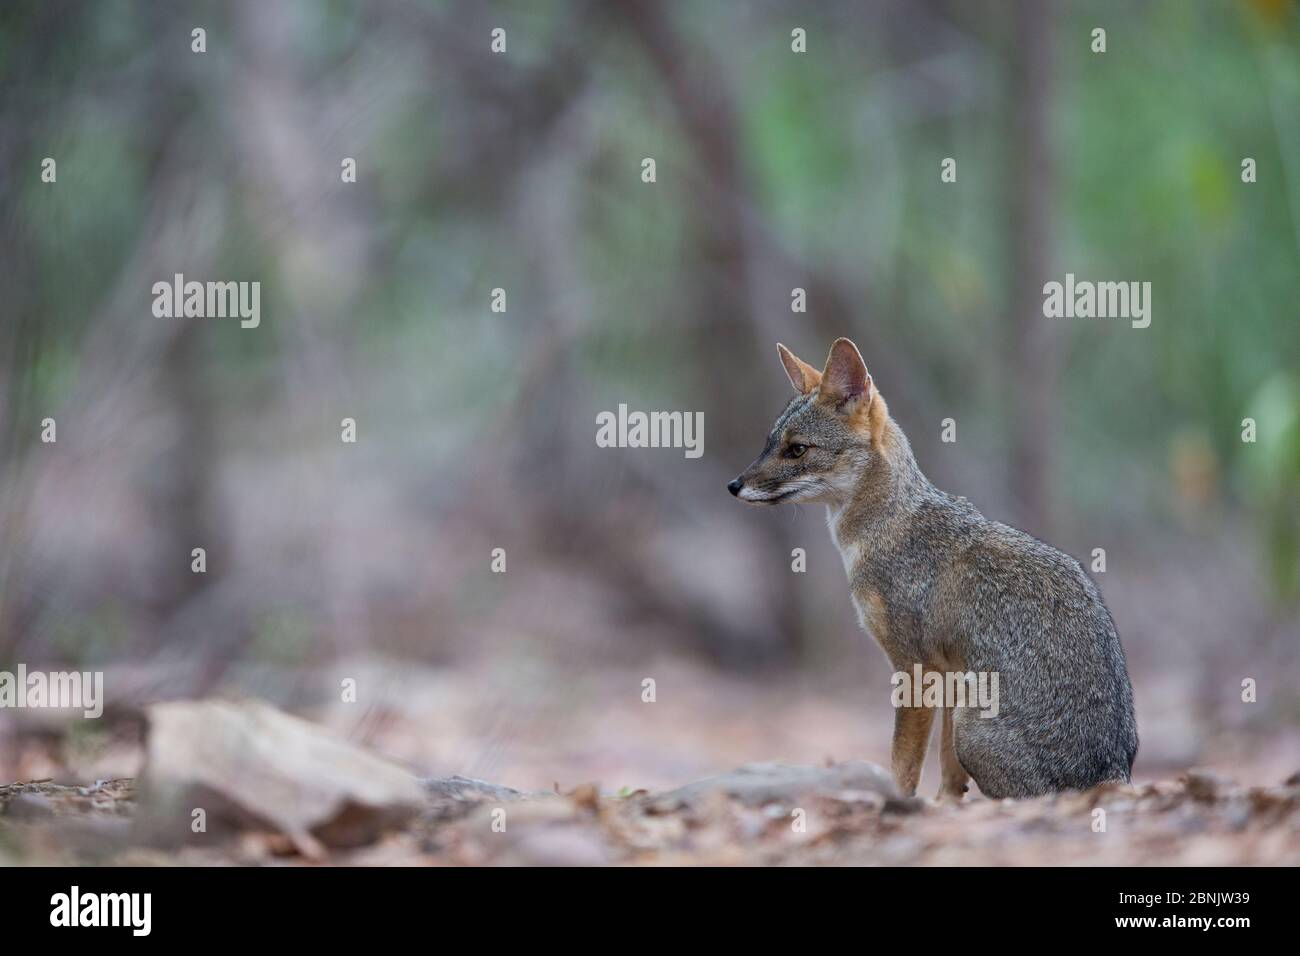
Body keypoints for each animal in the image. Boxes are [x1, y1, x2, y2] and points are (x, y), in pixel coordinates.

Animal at [728, 337, 1138, 800]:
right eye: (768, 443)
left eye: (797, 449)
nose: (734, 485)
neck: (891, 527)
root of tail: (1113, 771)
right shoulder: (948, 676)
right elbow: (948, 776)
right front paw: (944, 807)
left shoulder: (914, 670)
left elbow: (903, 767)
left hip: (970, 721)